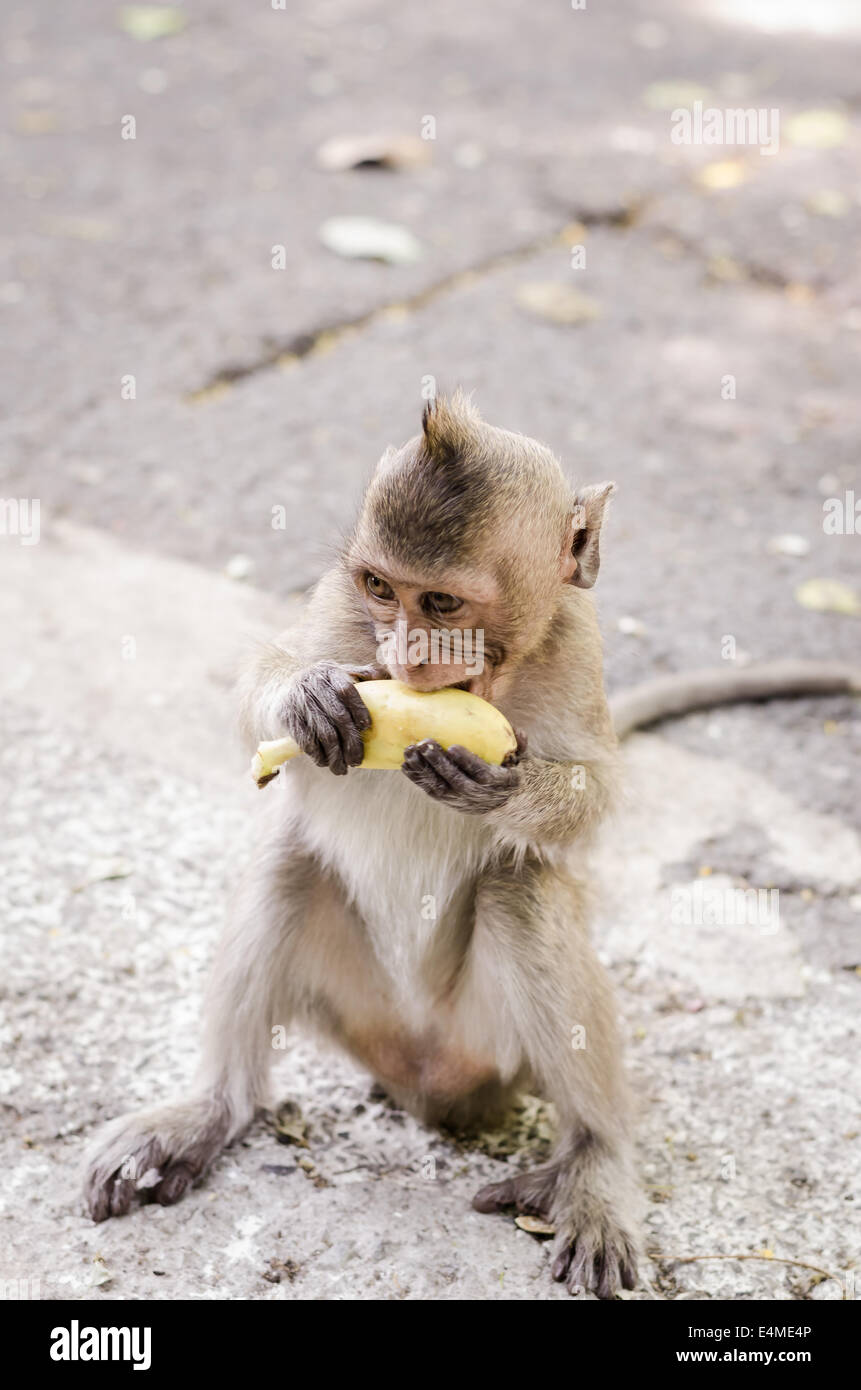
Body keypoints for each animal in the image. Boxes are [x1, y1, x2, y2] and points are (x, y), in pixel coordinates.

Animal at [80, 394, 861, 1301]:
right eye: (381, 588)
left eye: (444, 605)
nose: (403, 656)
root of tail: (424, 1083)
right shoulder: (337, 610)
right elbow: (256, 689)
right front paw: (305, 695)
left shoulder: (576, 644)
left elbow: (594, 799)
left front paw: (509, 791)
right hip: (356, 1009)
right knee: (288, 861)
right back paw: (212, 1109)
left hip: (489, 1045)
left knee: (522, 893)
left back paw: (594, 1162)